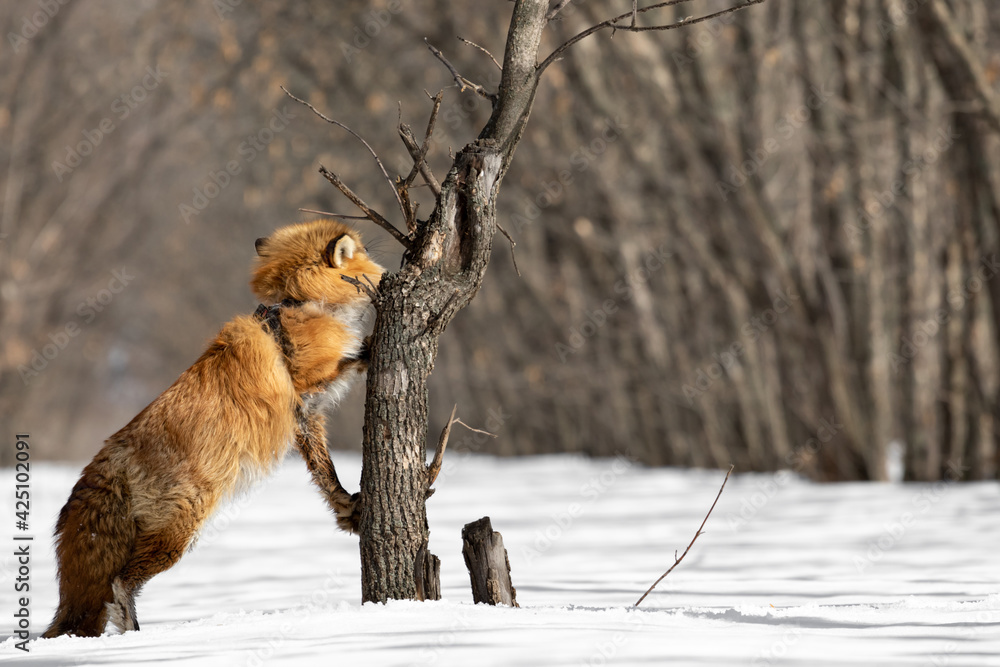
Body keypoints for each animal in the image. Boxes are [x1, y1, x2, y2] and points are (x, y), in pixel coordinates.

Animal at [43, 219, 384, 638]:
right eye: (364, 253)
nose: (385, 273)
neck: (296, 302)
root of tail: (110, 455)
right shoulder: (307, 385)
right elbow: (352, 358)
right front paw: (376, 342)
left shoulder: (304, 418)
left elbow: (324, 472)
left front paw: (346, 507)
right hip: (179, 530)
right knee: (120, 583)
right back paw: (133, 632)